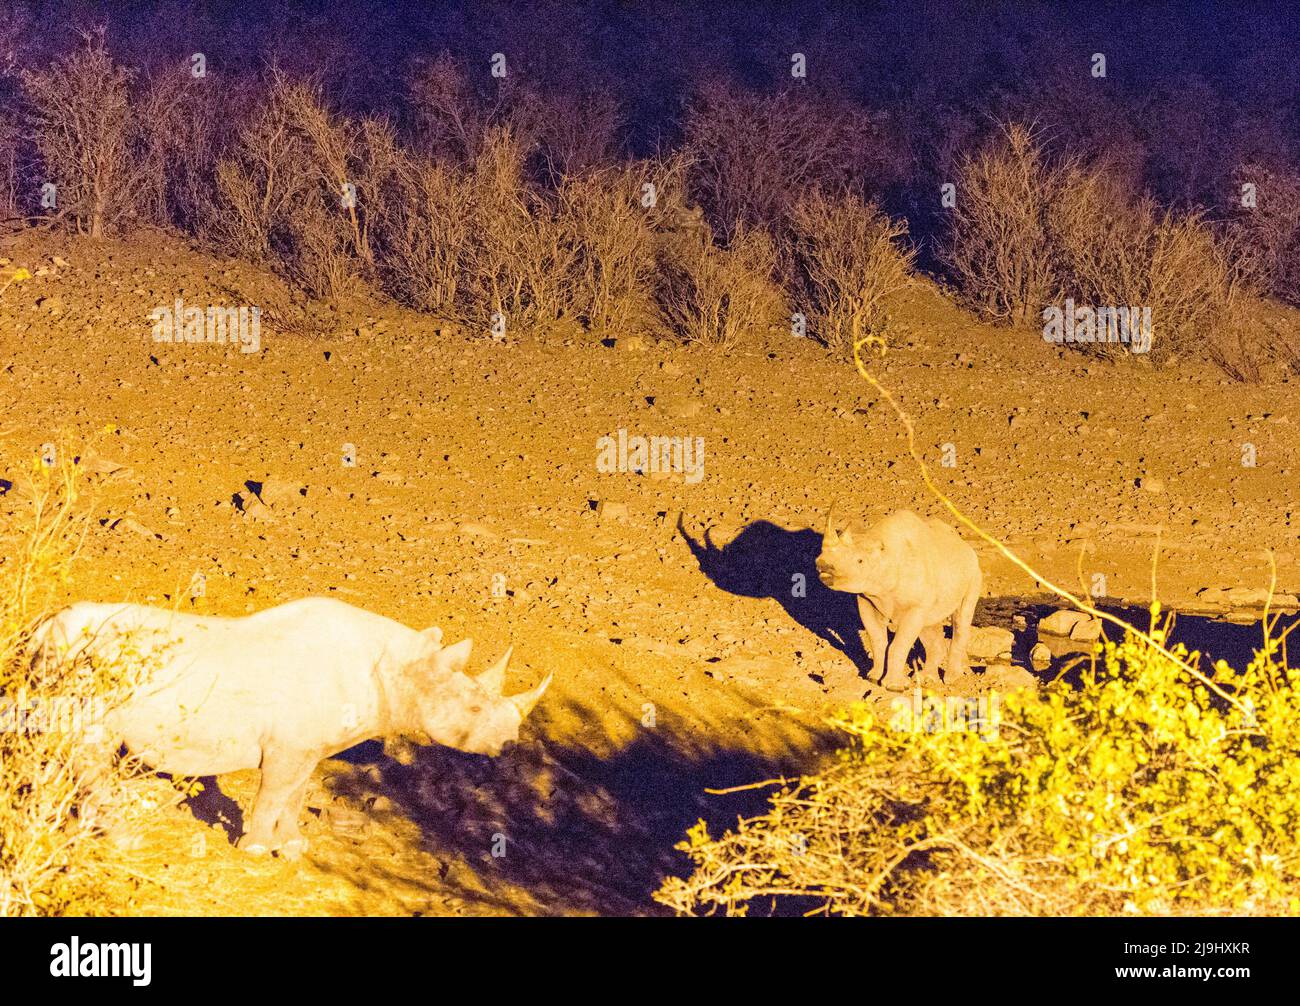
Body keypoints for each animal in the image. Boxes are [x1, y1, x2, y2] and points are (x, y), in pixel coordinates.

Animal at [30, 596, 551, 858]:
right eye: (474, 710)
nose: (508, 744)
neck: (401, 668)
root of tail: (46, 626)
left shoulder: (309, 745)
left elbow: (296, 794)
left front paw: (293, 845)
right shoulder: (289, 745)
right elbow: (274, 792)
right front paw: (257, 851)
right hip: (88, 670)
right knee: (88, 749)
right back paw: (124, 841)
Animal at [815, 506, 982, 690]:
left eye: (860, 561)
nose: (823, 564)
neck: (884, 556)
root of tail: (964, 545)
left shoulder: (914, 606)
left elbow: (898, 644)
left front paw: (894, 687)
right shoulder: (866, 598)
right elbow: (877, 640)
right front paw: (873, 678)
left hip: (974, 572)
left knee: (961, 618)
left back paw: (953, 680)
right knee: (929, 623)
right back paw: (927, 679)